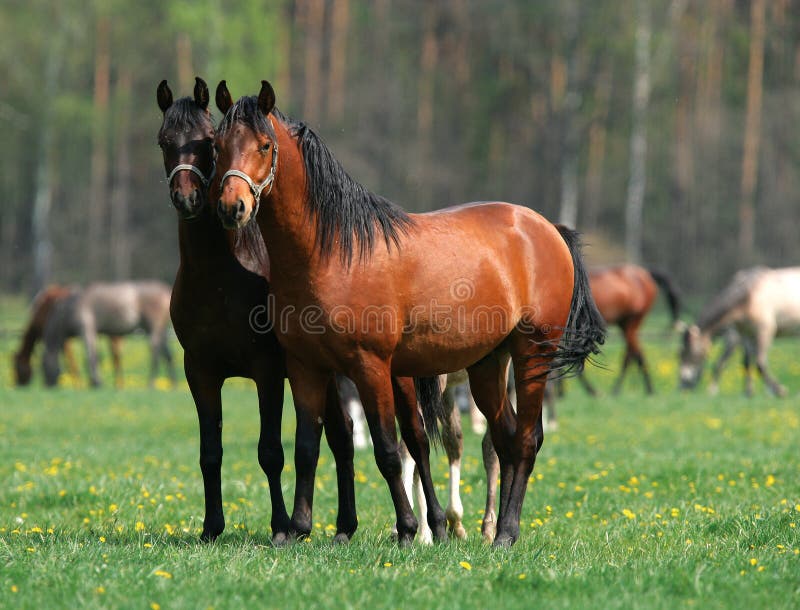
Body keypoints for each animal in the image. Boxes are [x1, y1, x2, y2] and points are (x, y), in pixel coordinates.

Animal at [42, 281, 174, 388]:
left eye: (43, 365)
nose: (48, 385)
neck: (69, 308)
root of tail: (166, 291)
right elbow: (96, 356)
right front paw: (94, 382)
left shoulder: (86, 330)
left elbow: (91, 356)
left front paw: (96, 382)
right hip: (160, 331)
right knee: (167, 354)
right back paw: (174, 383)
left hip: (154, 329)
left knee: (155, 353)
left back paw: (150, 383)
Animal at [213, 80, 604, 546]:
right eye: (218, 145)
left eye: (265, 145)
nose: (232, 207)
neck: (333, 252)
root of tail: (547, 229)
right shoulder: (306, 366)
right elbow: (308, 447)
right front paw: (296, 530)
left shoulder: (371, 367)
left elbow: (388, 451)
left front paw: (407, 529)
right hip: (488, 365)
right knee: (504, 438)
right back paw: (495, 531)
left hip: (532, 355)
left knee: (526, 439)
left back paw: (506, 533)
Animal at [573, 265, 681, 395]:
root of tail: (645, 273)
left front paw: (592, 391)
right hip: (625, 325)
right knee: (633, 354)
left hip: (632, 323)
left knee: (634, 355)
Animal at [679, 266, 800, 397]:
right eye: (679, 353)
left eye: (690, 352)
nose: (683, 384)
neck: (748, 296)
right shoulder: (746, 335)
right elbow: (746, 363)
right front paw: (749, 392)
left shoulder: (762, 331)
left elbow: (759, 364)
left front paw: (779, 391)